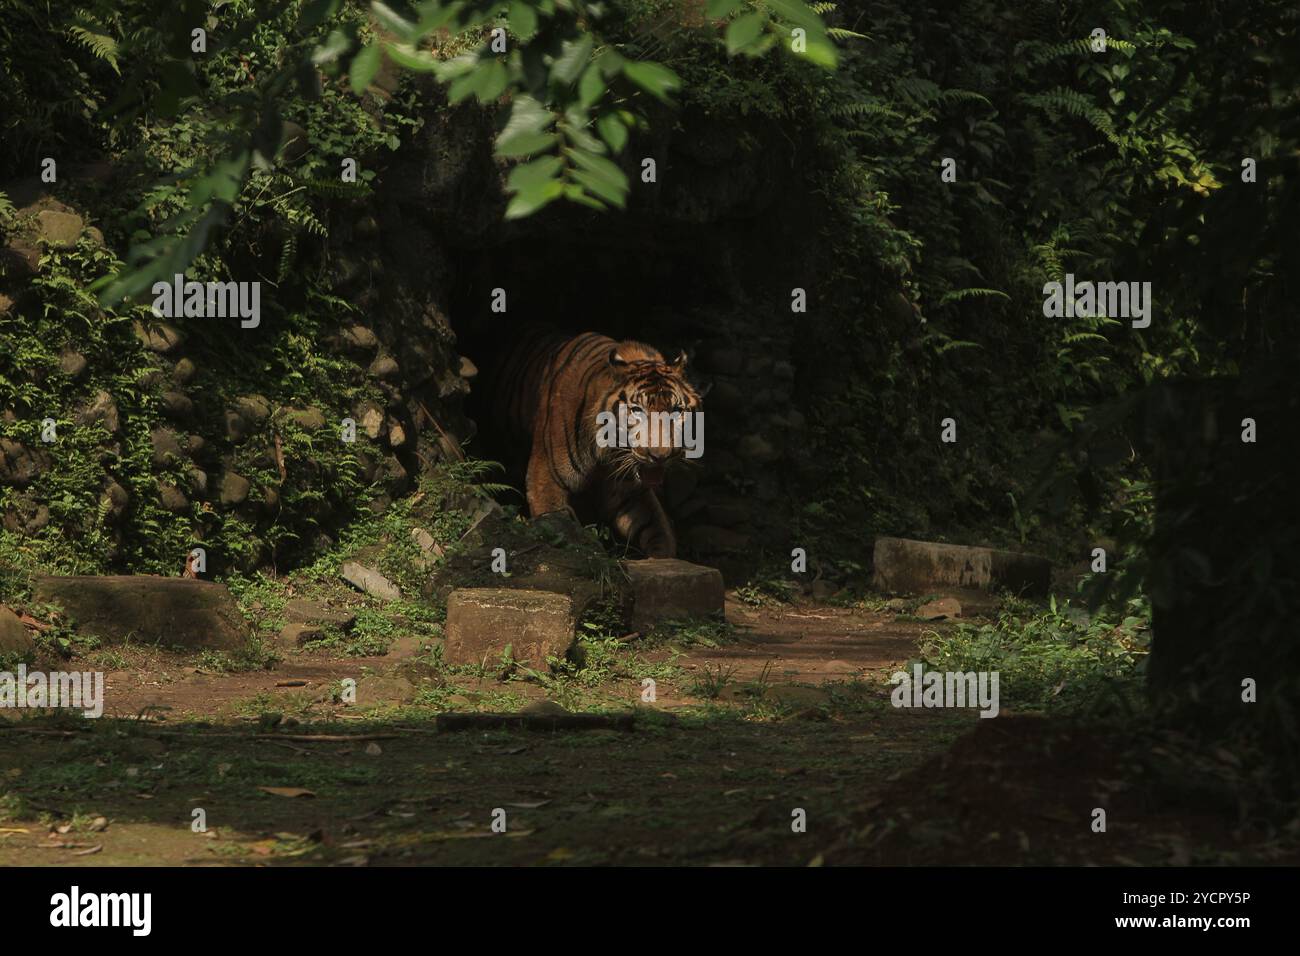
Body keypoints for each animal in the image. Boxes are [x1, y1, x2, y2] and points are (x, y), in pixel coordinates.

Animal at [483, 327, 704, 558]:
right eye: (637, 411)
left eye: (677, 411)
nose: (660, 456)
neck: (608, 455)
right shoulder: (546, 479)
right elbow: (554, 523)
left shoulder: (629, 492)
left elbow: (658, 529)